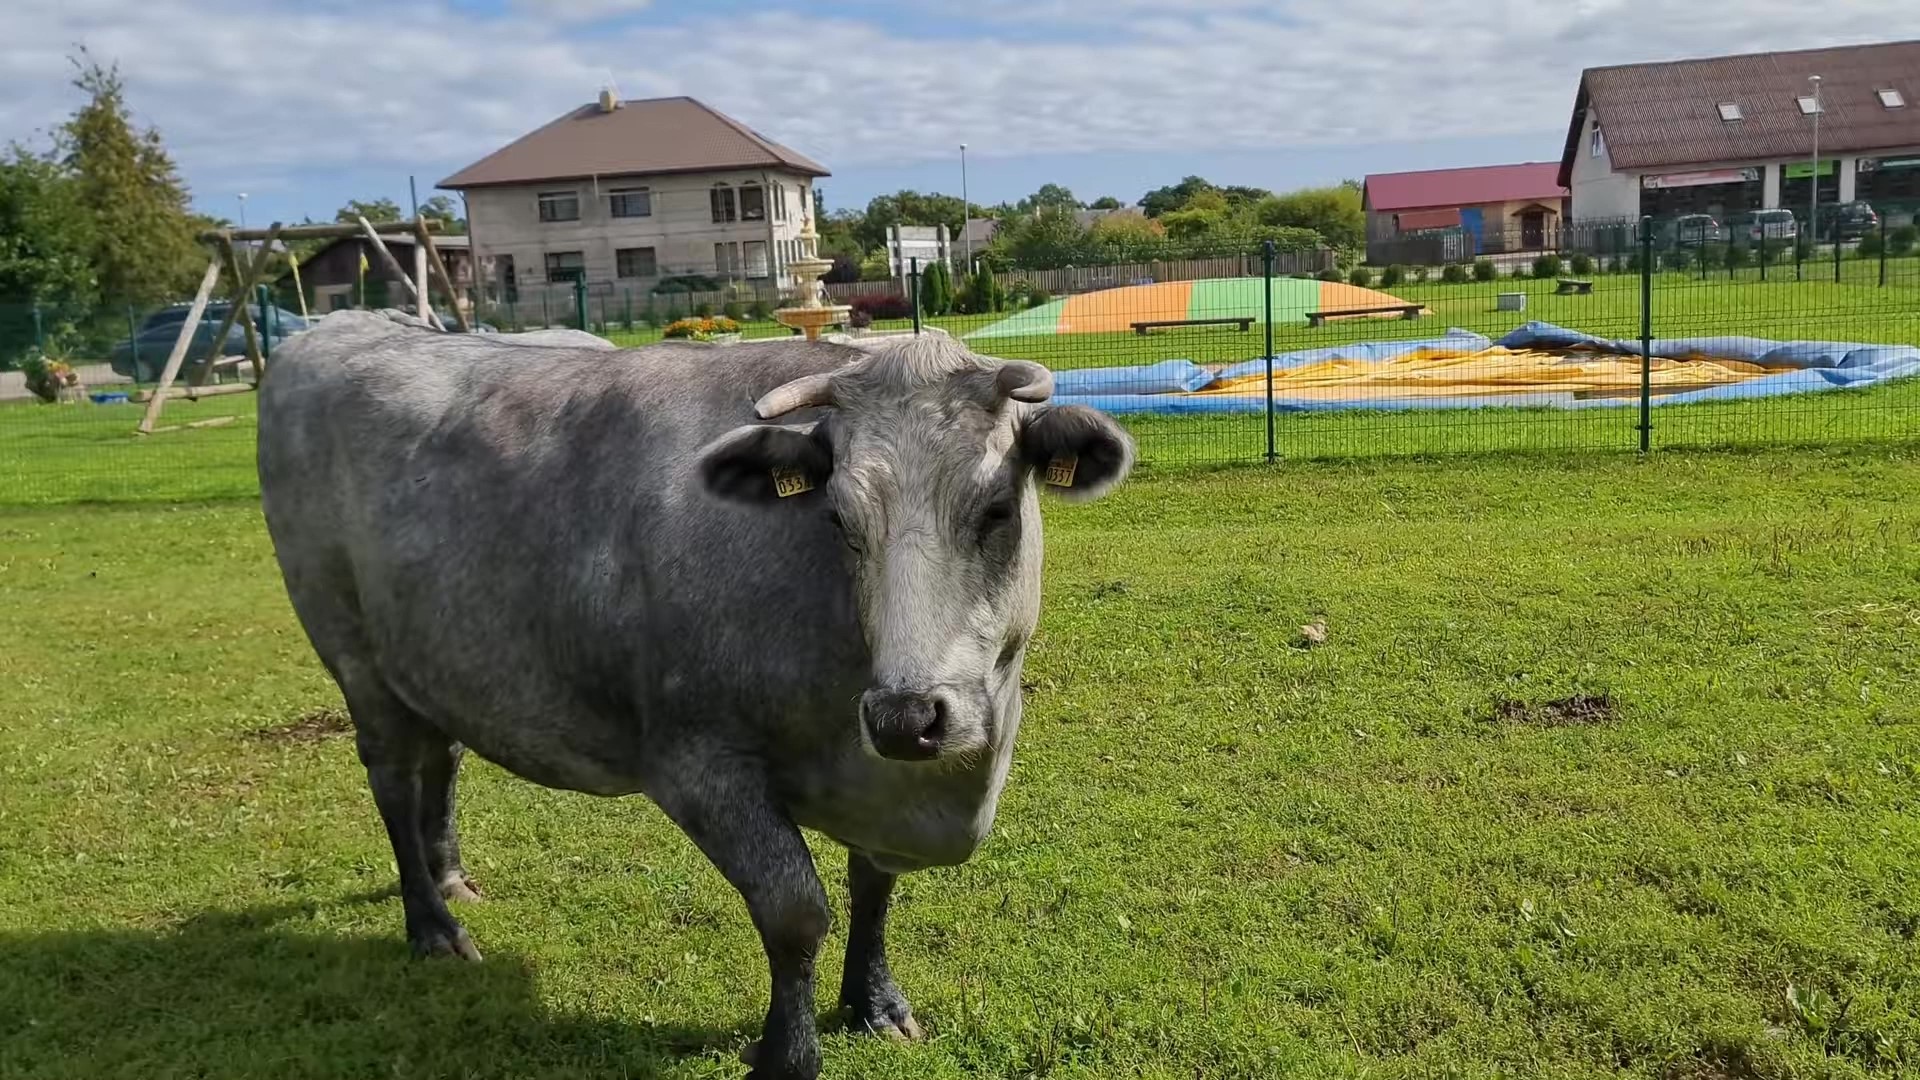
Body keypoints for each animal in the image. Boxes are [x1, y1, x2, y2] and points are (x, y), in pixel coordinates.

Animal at [255, 311, 1134, 1079]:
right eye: (841, 521)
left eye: (996, 509)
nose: (907, 718)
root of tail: (341, 327)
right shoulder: (699, 763)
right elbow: (795, 910)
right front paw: (789, 1055)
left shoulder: (878, 779)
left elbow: (872, 886)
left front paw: (874, 1002)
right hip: (353, 653)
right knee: (392, 780)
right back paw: (432, 923)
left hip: (433, 657)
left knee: (441, 756)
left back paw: (448, 879)